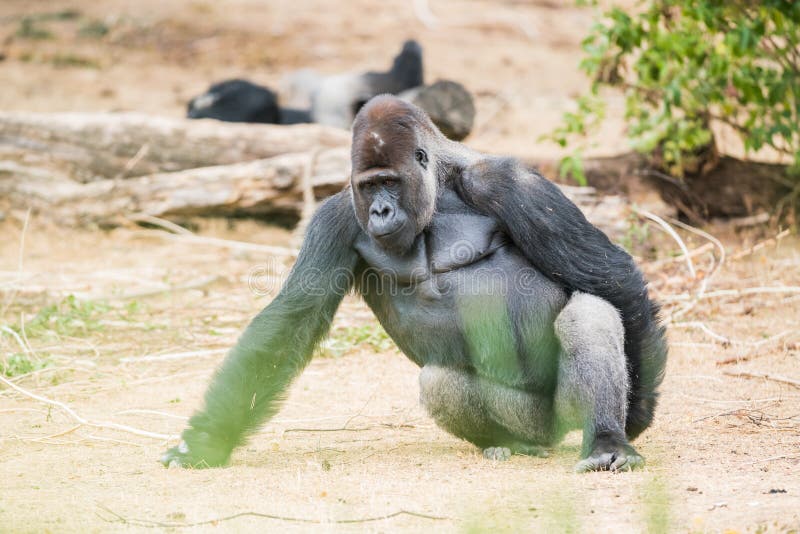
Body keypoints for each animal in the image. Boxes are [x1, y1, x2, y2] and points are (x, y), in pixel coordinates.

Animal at [161, 95, 667, 472]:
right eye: (368, 186)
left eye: (389, 181)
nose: (381, 210)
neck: (438, 184)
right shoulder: (335, 219)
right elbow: (289, 323)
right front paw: (205, 440)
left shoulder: (510, 182)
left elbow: (609, 275)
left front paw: (638, 413)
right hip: (530, 420)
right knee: (440, 382)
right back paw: (510, 443)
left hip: (563, 417)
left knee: (590, 312)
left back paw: (606, 440)